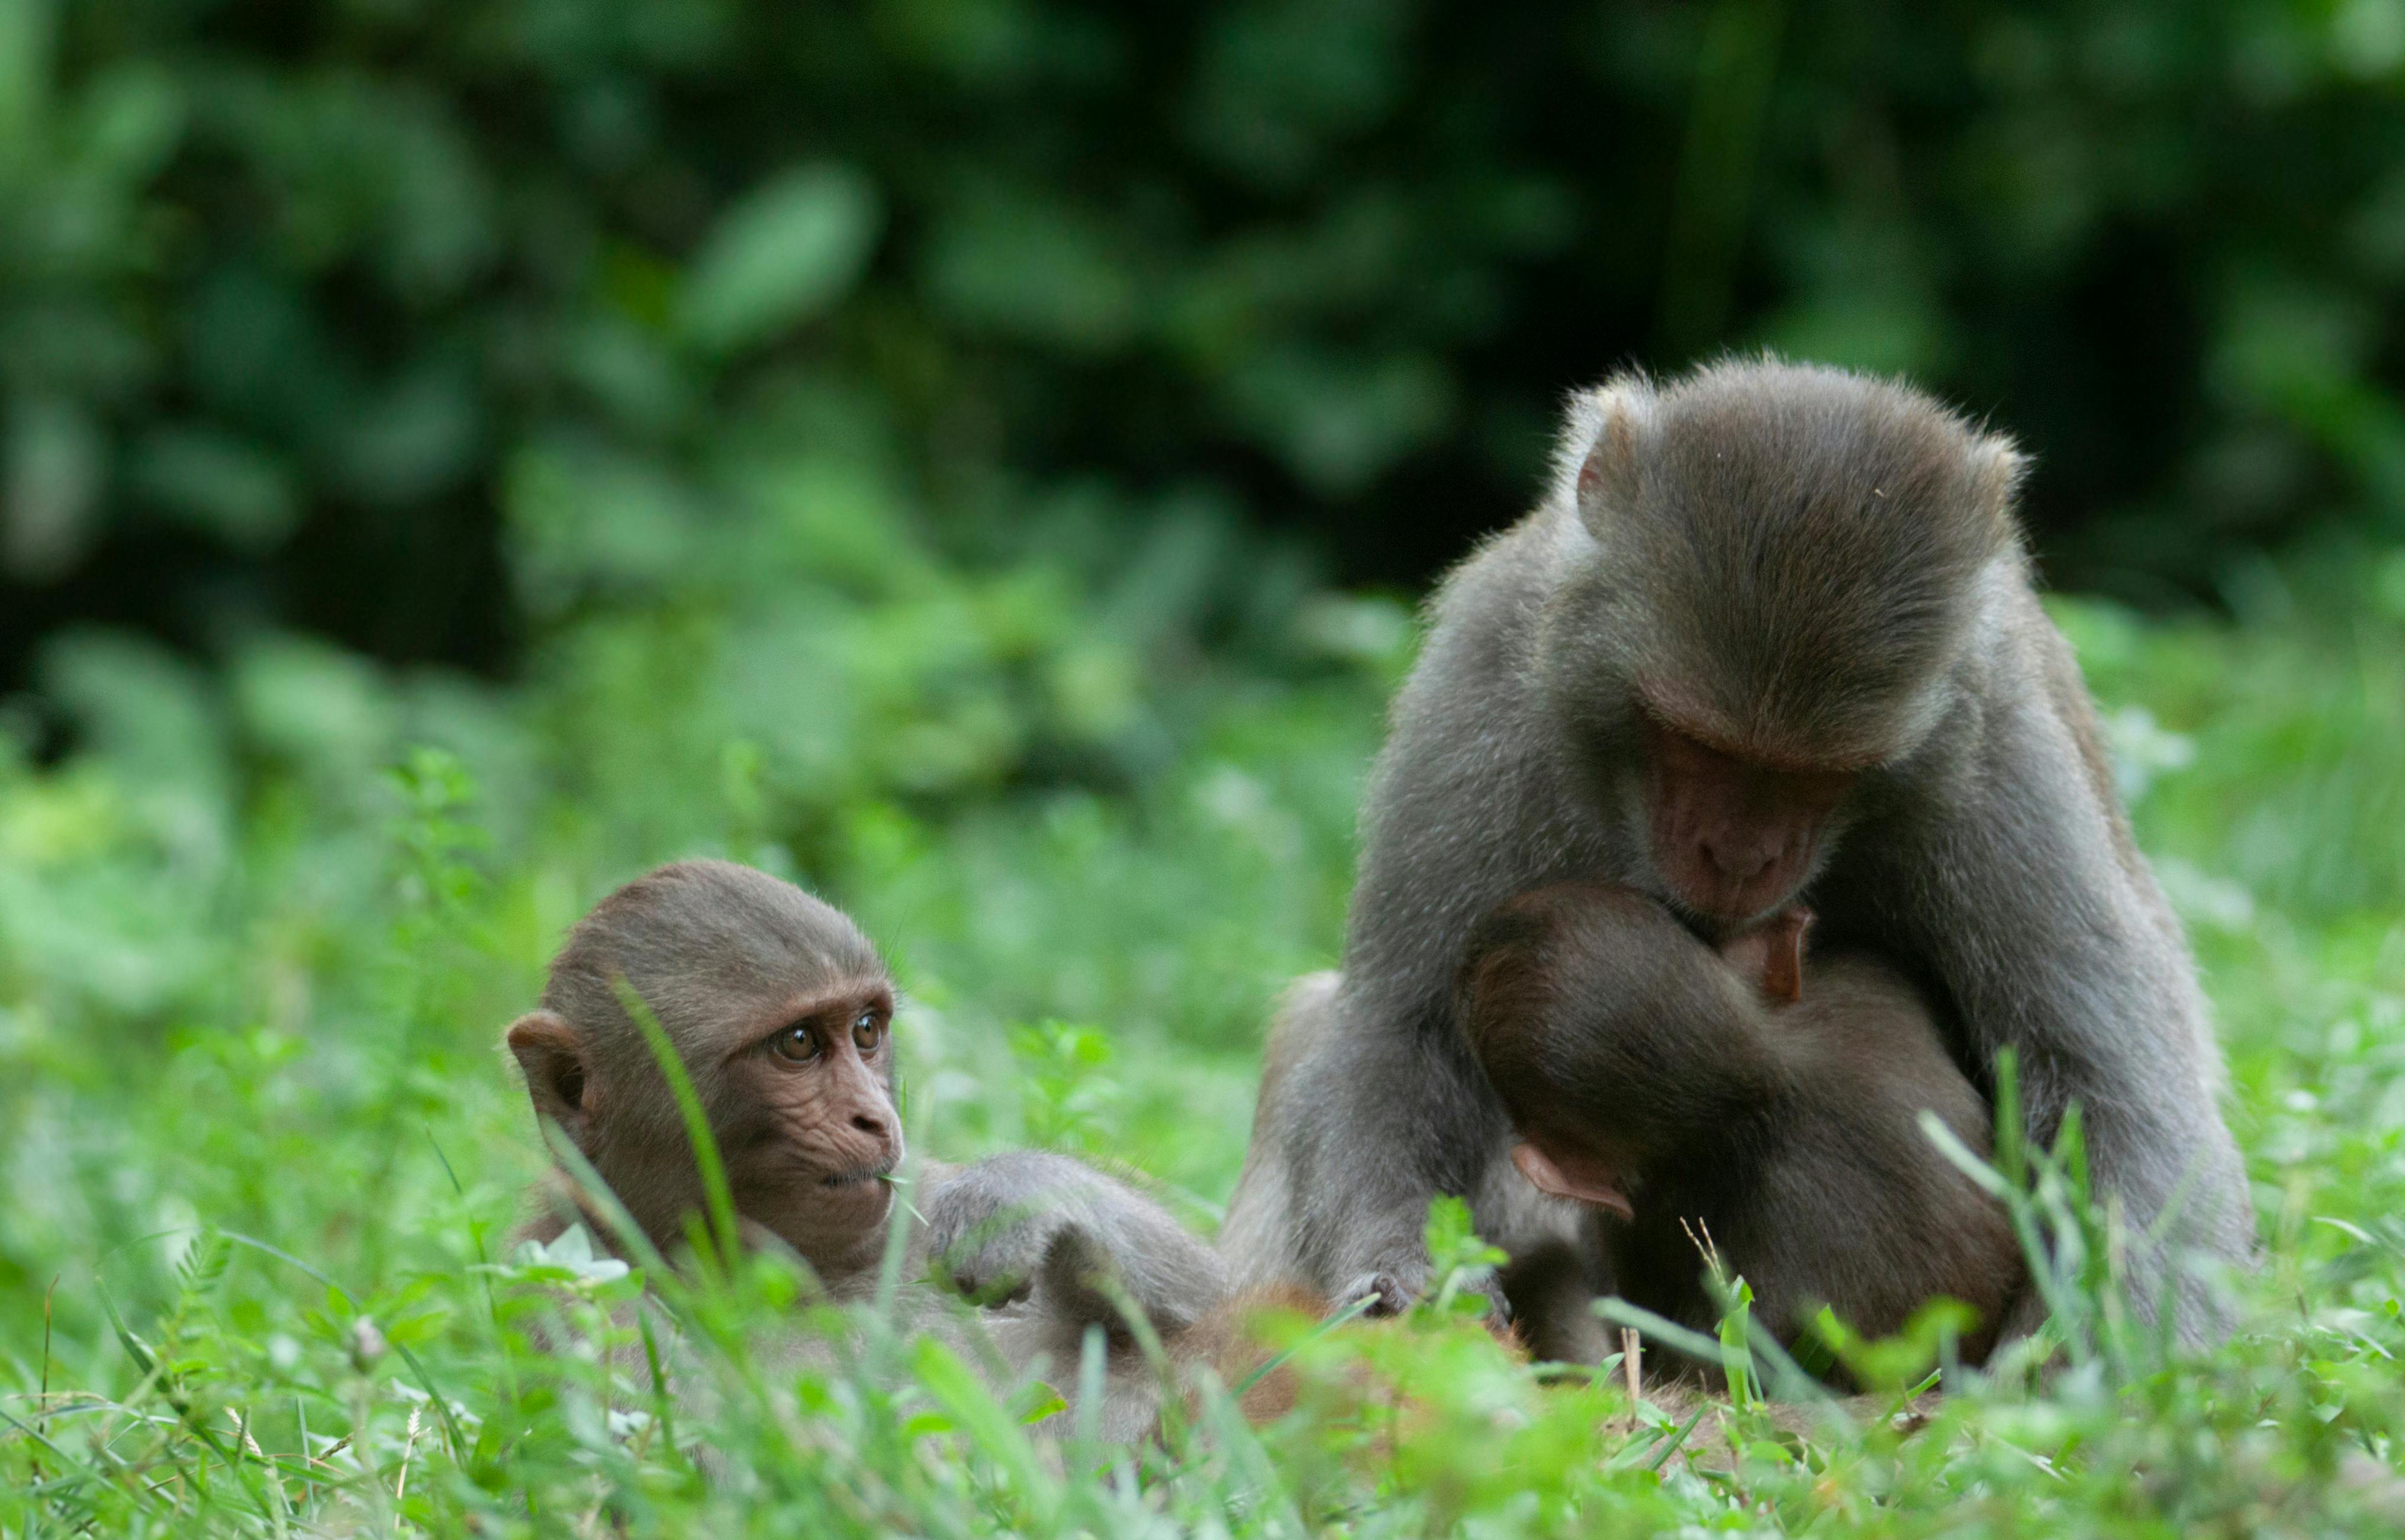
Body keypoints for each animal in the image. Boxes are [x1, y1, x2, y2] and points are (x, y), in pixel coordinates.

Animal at [502, 858, 1229, 1440]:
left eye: (865, 1030)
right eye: (798, 1043)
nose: (875, 1118)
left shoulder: (914, 1194)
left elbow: (1218, 1298)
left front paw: (1022, 1193)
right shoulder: (567, 1297)